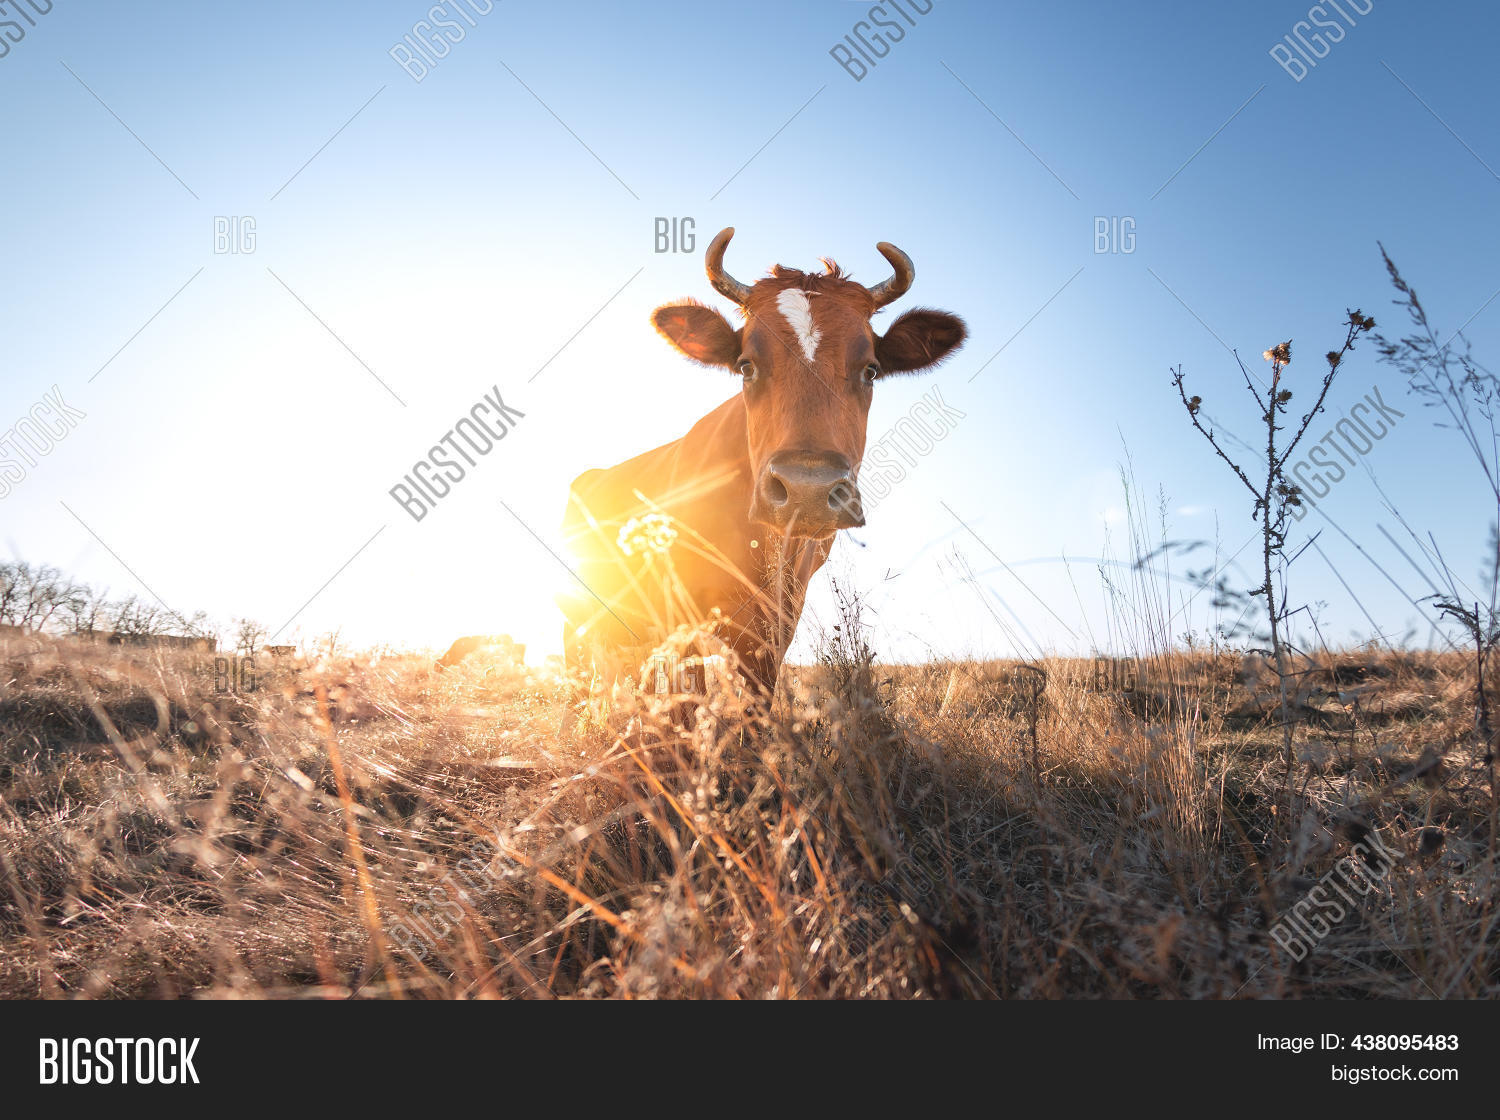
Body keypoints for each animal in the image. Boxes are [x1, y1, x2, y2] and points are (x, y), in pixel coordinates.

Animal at [558, 228, 966, 701]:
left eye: (871, 370)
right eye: (746, 366)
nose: (807, 490)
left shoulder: (779, 620)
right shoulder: (681, 613)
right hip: (578, 616)